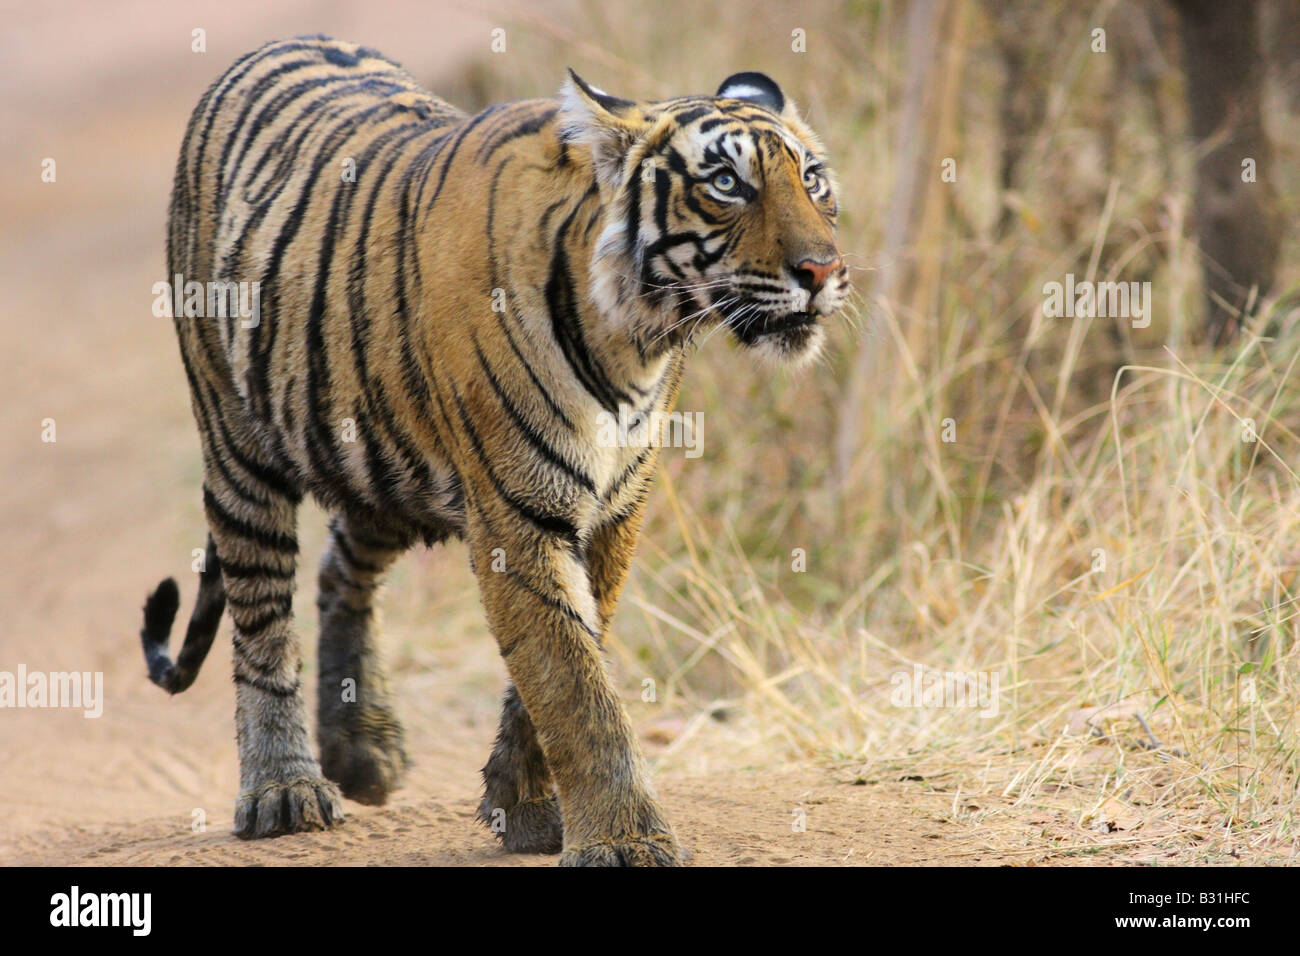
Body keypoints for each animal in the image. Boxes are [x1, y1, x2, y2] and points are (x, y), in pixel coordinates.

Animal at [139, 35, 848, 866]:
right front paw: (622, 840)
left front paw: (525, 805)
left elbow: (568, 657)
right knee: (262, 622)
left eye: (813, 179)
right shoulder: (518, 511)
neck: (638, 339)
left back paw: (363, 750)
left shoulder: (613, 510)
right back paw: (285, 788)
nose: (824, 271)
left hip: (384, 456)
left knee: (341, 567)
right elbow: (570, 681)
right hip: (239, 445)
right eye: (727, 184)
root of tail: (276, 45)